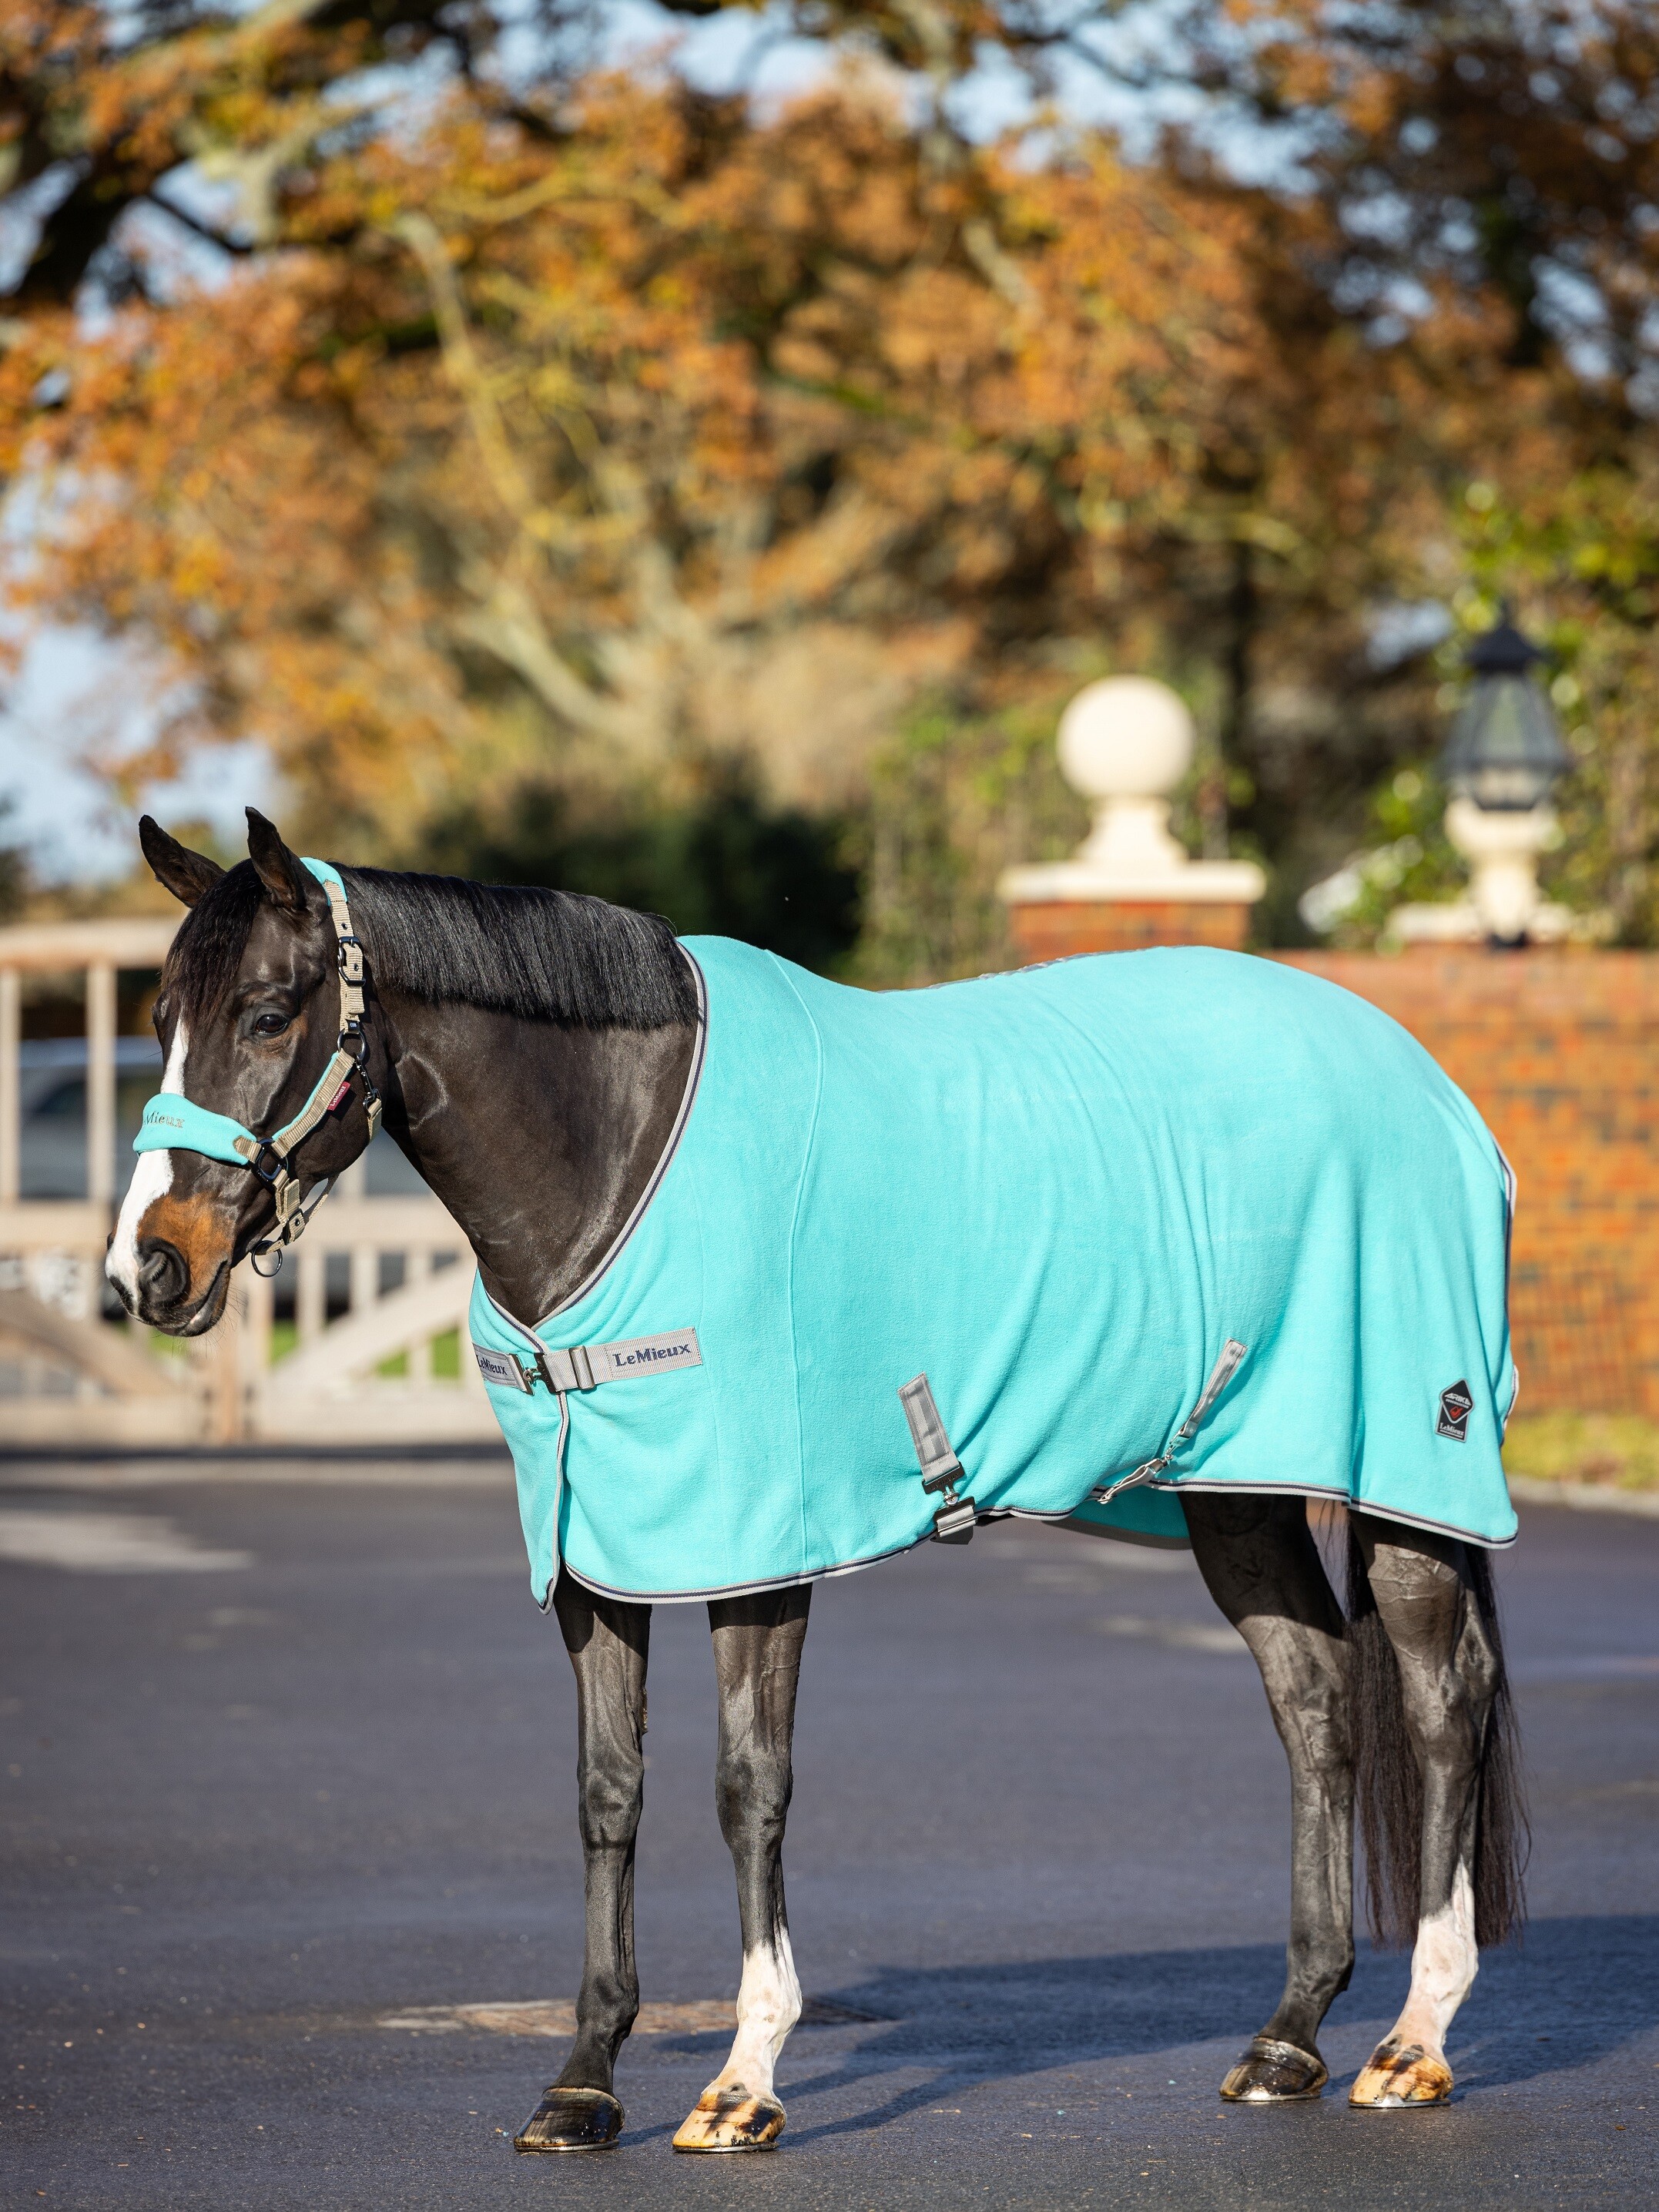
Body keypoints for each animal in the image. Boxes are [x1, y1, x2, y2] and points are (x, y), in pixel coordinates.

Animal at [110, 809, 1525, 2155]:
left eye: (268, 1013)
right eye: (161, 1019)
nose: (149, 1270)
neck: (623, 1155)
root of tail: (1427, 1085)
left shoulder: (758, 1550)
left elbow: (748, 1788)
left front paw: (742, 2084)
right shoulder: (594, 1548)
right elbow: (607, 1790)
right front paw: (581, 2085)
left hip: (1407, 1469)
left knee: (1439, 1701)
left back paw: (1413, 2041)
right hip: (1236, 1486)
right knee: (1315, 1698)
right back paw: (1287, 2038)